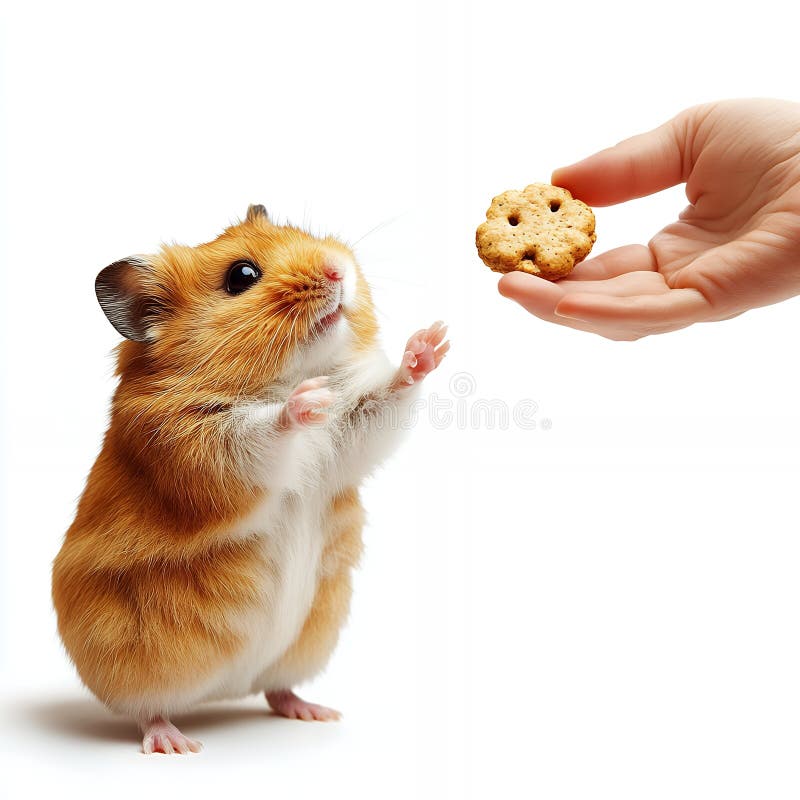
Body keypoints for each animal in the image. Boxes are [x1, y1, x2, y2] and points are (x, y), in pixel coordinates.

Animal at [51, 204, 449, 754]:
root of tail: (222, 692)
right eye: (241, 276)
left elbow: (385, 398)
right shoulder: (193, 444)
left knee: (276, 690)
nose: (337, 270)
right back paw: (175, 743)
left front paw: (429, 344)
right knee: (147, 710)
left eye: (297, 232)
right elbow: (263, 429)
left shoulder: (352, 436)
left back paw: (315, 712)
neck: (282, 375)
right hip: (134, 661)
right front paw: (307, 402)